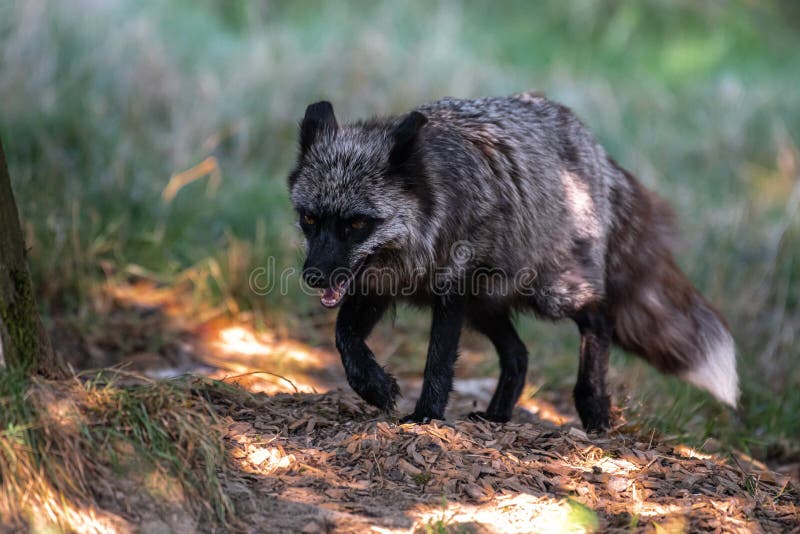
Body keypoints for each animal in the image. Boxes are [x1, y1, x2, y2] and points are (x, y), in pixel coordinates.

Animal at [287, 93, 738, 431]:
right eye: (309, 219)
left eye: (355, 224)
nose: (313, 276)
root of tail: (592, 145)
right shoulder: (378, 287)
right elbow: (345, 339)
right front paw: (375, 387)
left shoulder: (451, 292)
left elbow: (437, 364)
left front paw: (425, 417)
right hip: (485, 306)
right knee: (519, 355)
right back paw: (497, 417)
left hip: (550, 294)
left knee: (599, 318)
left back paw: (593, 408)